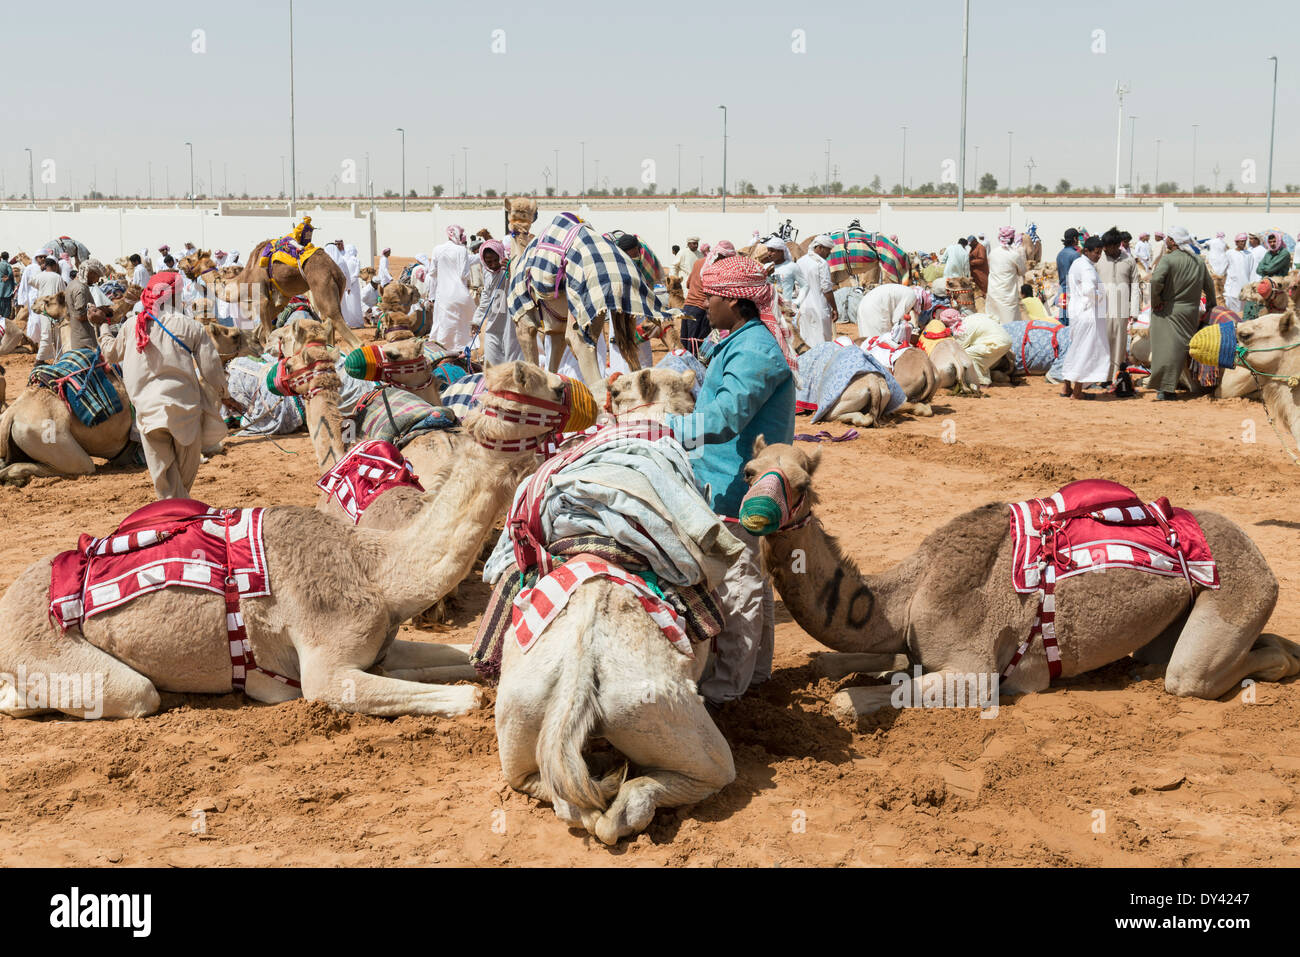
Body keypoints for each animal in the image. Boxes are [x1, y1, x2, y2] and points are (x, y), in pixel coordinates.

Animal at [0, 361, 571, 720]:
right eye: (547, 385)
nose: (572, 388)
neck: (377, 572)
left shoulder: (380, 645)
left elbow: (467, 659)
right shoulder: (329, 668)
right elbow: (466, 697)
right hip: (60, 654)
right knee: (132, 692)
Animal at [742, 439, 1299, 721]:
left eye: (803, 483)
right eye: (748, 470)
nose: (756, 512)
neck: (907, 595)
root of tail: (1258, 552)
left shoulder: (976, 673)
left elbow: (856, 697)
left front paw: (848, 698)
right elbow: (848, 662)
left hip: (1237, 590)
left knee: (1191, 676)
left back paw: (1280, 663)